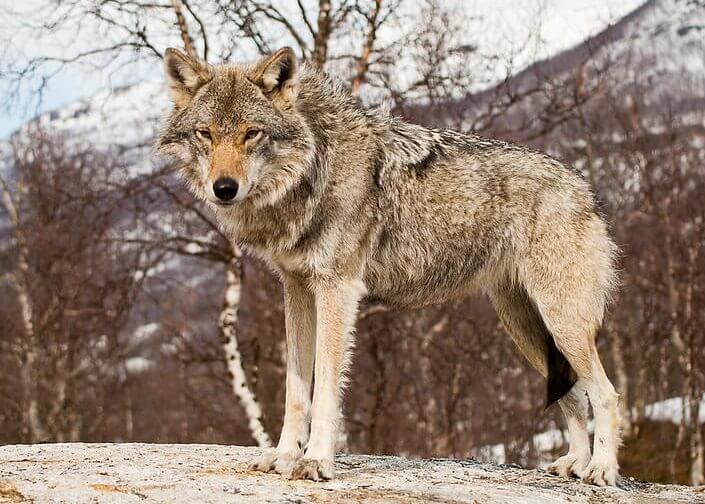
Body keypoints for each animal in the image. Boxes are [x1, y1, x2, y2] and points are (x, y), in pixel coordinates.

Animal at [154, 46, 621, 486]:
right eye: (205, 134)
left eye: (251, 133)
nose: (224, 188)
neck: (315, 166)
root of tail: (585, 189)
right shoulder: (297, 289)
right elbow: (295, 390)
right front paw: (285, 456)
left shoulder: (337, 290)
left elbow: (325, 389)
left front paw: (317, 461)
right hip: (527, 330)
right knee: (573, 396)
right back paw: (574, 464)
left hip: (561, 323)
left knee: (606, 393)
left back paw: (601, 470)